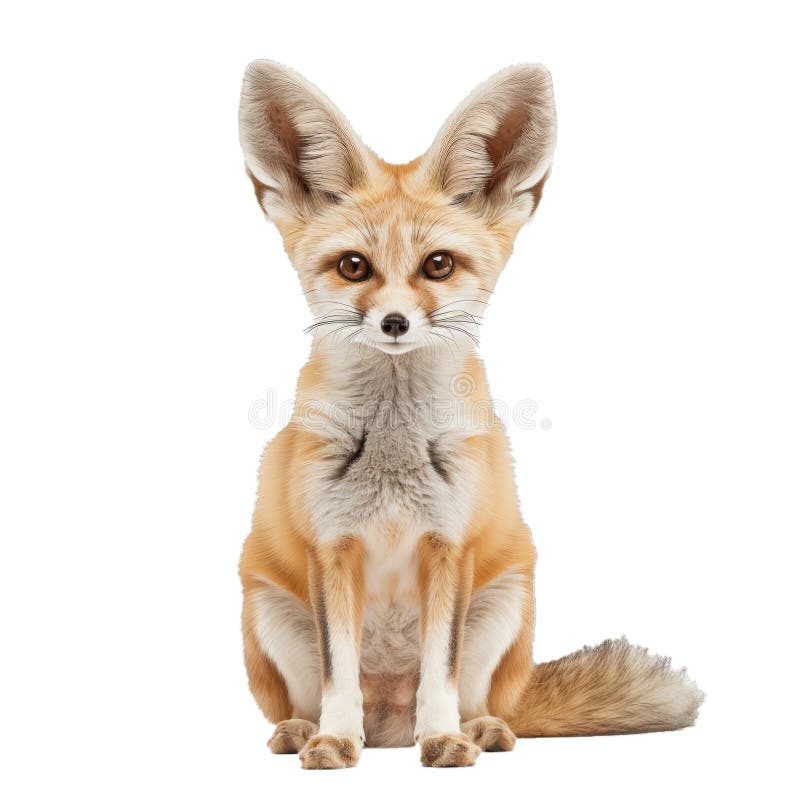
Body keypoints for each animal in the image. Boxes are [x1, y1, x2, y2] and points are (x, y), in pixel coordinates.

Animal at [237, 60, 703, 769]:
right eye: (353, 266)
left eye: (438, 265)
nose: (394, 323)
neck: (394, 456)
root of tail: (389, 725)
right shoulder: (330, 546)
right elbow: (338, 674)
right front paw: (336, 741)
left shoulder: (449, 546)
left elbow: (441, 671)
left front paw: (445, 739)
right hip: (265, 606)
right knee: (317, 700)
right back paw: (306, 732)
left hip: (507, 599)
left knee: (480, 702)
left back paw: (476, 729)